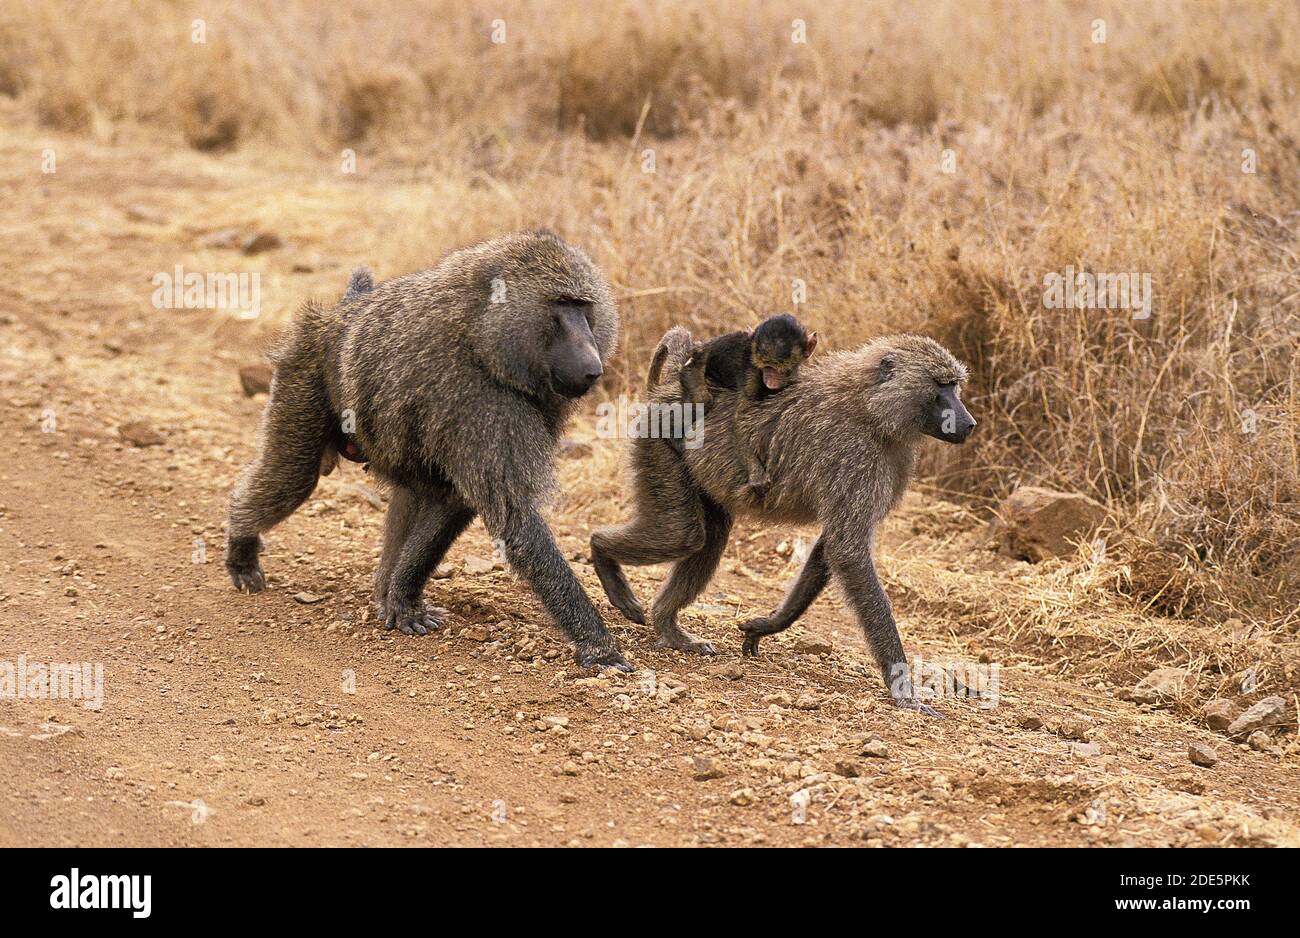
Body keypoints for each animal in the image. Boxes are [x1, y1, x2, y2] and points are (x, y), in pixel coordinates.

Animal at [225, 230, 632, 671]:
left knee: (411, 492)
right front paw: (599, 646)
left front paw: (403, 601)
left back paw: (384, 593)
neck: (480, 331)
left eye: (584, 308)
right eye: (561, 307)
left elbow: (452, 498)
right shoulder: (474, 396)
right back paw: (241, 550)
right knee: (291, 477)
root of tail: (342, 312)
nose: (593, 368)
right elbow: (512, 514)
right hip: (304, 370)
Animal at [675, 313, 817, 498]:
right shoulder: (752, 375)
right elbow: (740, 421)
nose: (770, 378)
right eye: (766, 367)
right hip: (691, 371)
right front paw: (757, 475)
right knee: (702, 398)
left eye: (779, 368)